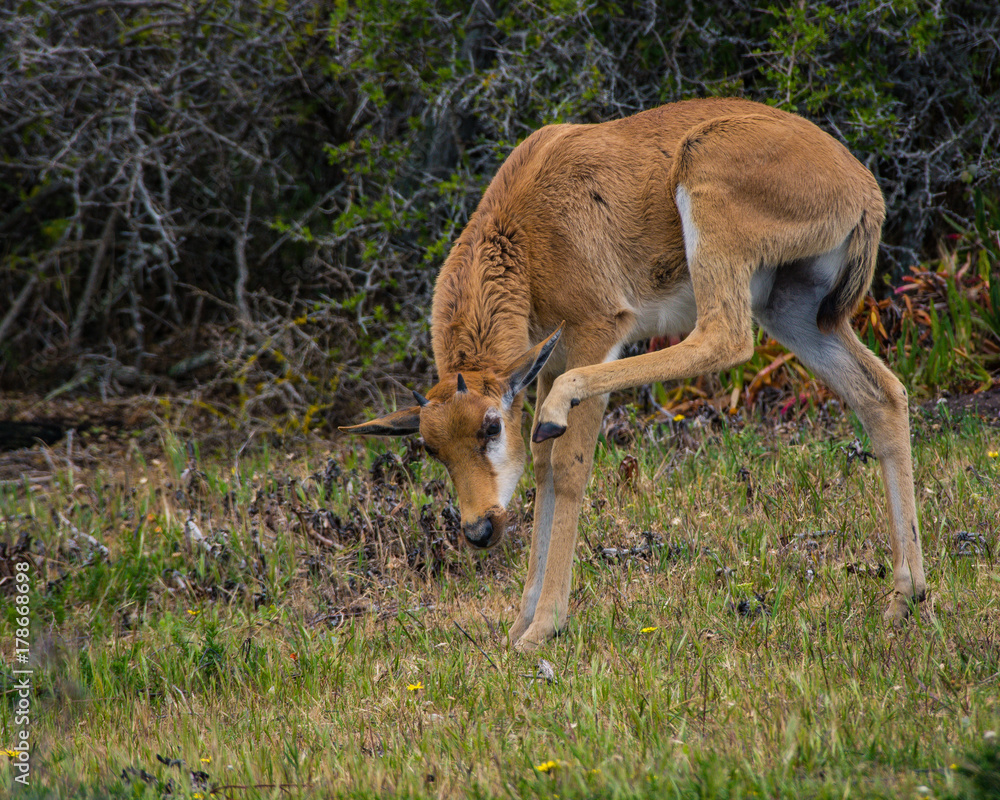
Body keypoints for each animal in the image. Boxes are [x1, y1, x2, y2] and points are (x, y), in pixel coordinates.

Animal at [341, 97, 926, 652]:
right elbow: (541, 465)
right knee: (882, 395)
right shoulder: (547, 361)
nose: (480, 529)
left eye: (490, 425)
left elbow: (567, 466)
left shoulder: (591, 337)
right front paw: (518, 627)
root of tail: (862, 187)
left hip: (712, 213)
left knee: (724, 338)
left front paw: (543, 629)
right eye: (431, 447)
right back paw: (905, 598)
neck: (526, 231)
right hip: (792, 310)